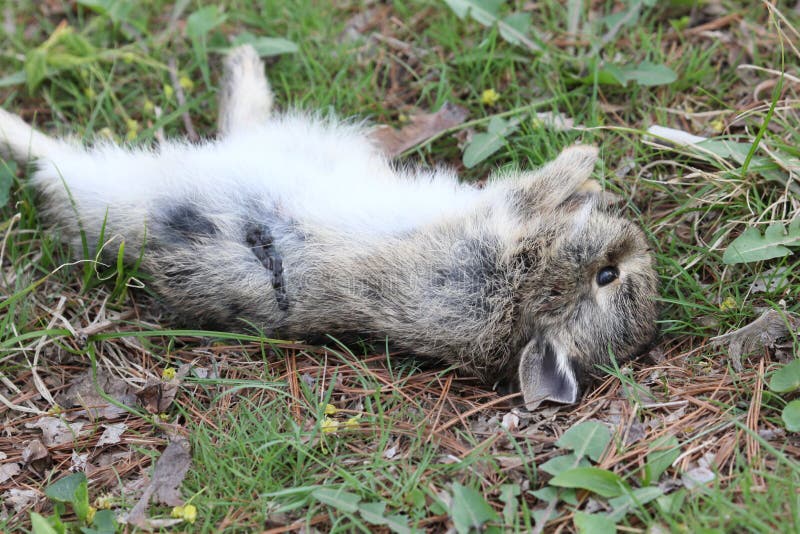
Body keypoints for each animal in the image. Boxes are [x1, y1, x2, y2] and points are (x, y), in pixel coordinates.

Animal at [0, 45, 659, 409]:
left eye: (606, 276)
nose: (636, 242)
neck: (529, 289)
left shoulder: (488, 236)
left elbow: (530, 190)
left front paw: (578, 161)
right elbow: (540, 193)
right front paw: (586, 174)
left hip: (120, 185)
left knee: (50, 160)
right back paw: (243, 57)